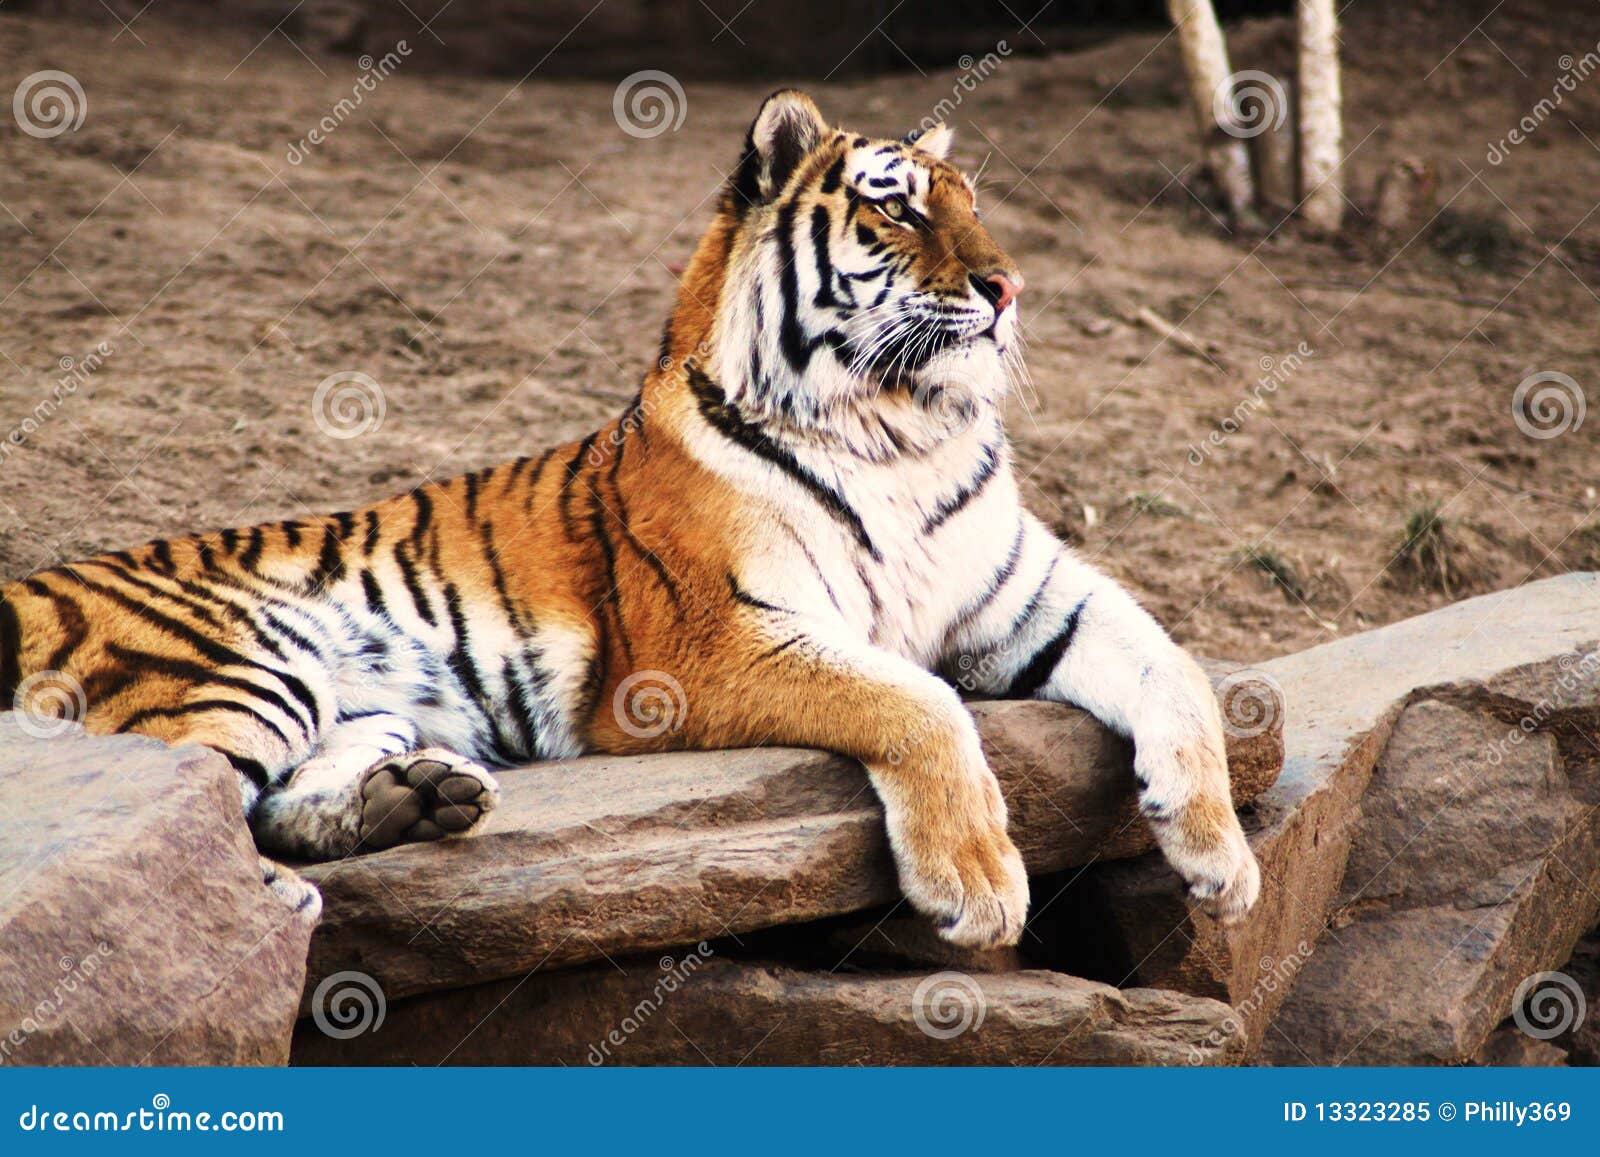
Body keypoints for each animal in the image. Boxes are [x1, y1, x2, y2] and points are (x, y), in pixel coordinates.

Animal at [0, 91, 1259, 946]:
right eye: (895, 214)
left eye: (975, 212)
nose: (1008, 289)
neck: (904, 431)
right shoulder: (709, 647)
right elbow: (920, 702)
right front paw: (982, 886)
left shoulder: (1037, 598)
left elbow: (1177, 670)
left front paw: (1219, 856)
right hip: (233, 663)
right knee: (187, 799)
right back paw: (269, 906)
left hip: (355, 701)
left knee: (280, 798)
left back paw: (420, 798)